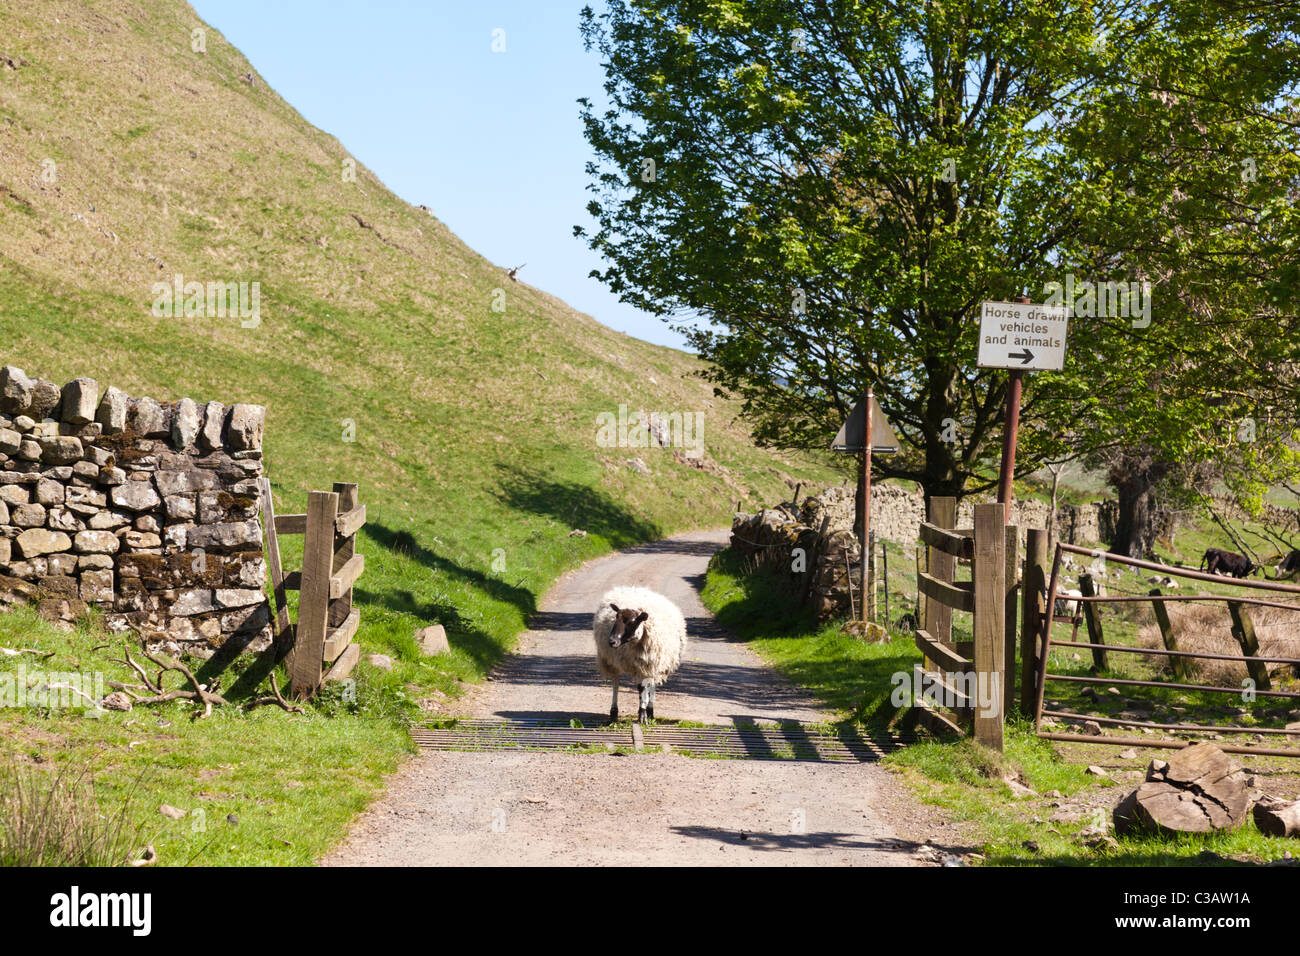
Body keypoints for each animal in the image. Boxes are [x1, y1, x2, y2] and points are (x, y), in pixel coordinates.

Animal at [592, 586, 687, 724]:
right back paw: (614, 712)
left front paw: (645, 713)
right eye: (616, 618)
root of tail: (632, 588)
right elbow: (640, 687)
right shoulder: (638, 664)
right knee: (616, 682)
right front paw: (642, 714)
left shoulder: (651, 663)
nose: (612, 641)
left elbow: (645, 687)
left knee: (649, 684)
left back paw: (649, 710)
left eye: (632, 622)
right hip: (611, 660)